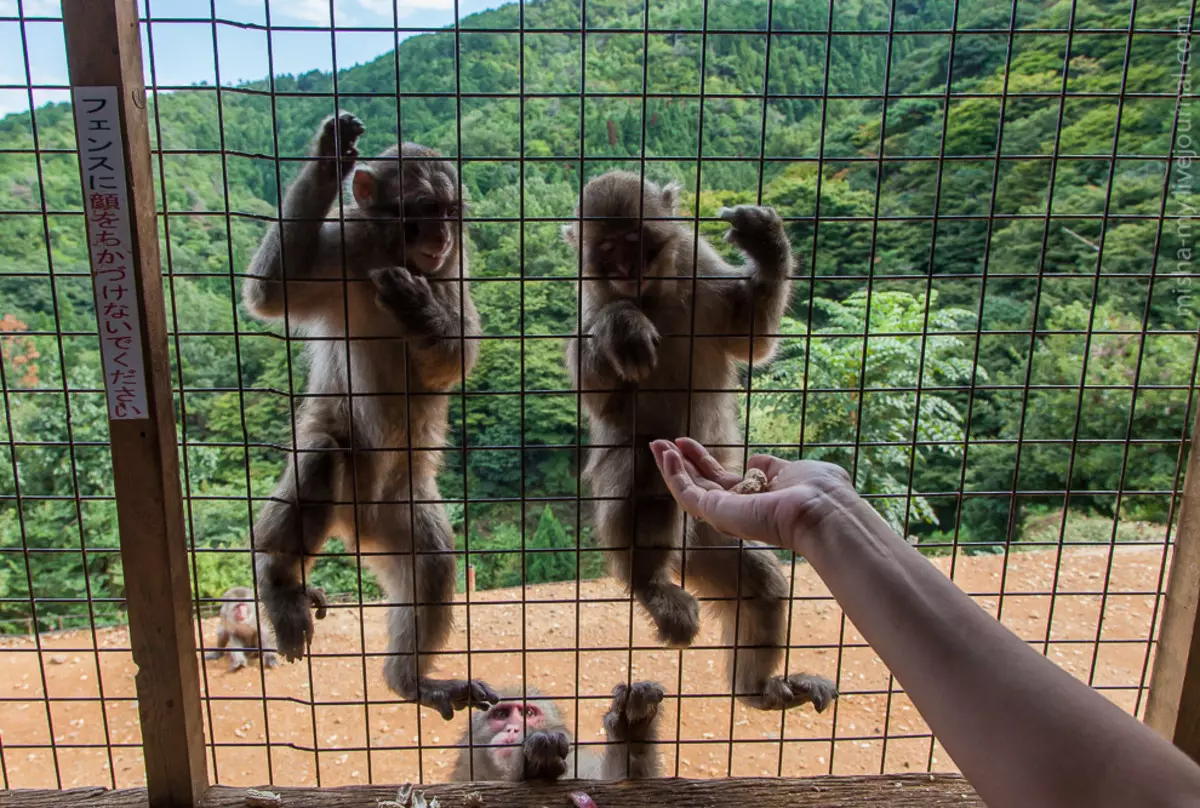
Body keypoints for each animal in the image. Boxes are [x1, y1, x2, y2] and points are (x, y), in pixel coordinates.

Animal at [241, 111, 494, 720]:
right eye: (423, 209)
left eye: (449, 210)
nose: (441, 237)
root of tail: (355, 526)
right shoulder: (343, 254)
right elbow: (271, 293)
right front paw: (330, 156)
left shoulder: (452, 274)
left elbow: (458, 356)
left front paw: (417, 309)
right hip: (348, 484)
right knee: (322, 452)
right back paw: (279, 579)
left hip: (399, 511)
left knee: (431, 562)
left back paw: (410, 680)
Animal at [559, 170, 835, 710]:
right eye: (608, 250)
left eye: (635, 241)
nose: (627, 270)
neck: (655, 294)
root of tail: (682, 550)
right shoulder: (591, 300)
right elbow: (598, 396)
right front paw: (622, 324)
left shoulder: (699, 268)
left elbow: (751, 336)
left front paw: (767, 246)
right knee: (643, 458)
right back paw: (649, 584)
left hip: (714, 536)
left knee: (761, 585)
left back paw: (760, 690)